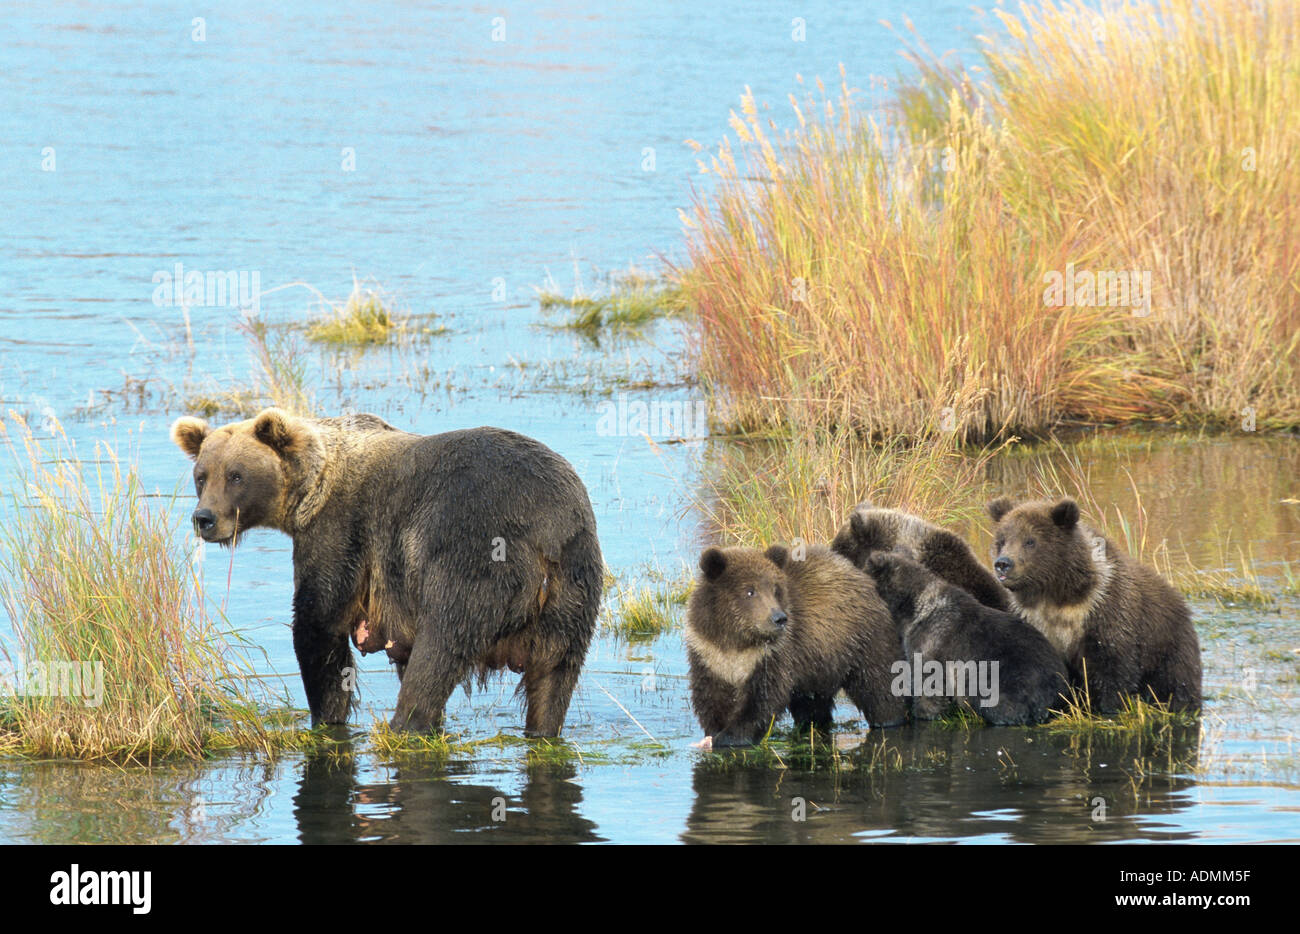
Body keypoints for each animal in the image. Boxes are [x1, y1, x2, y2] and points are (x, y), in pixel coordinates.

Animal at [170, 407, 604, 735]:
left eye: (236, 475)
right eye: (201, 476)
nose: (204, 519)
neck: (308, 496)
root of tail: (544, 530)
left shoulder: (341, 531)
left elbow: (319, 623)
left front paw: (326, 717)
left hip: (471, 553)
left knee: (439, 649)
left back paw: (404, 725)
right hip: (574, 583)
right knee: (555, 675)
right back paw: (542, 728)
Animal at [684, 543, 906, 747]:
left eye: (775, 589)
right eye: (749, 591)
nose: (779, 618)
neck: (737, 641)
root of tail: (861, 576)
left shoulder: (774, 654)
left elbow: (762, 699)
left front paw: (731, 736)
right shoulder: (708, 653)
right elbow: (710, 695)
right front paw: (714, 730)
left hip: (861, 640)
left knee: (880, 687)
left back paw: (890, 718)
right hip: (818, 666)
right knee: (812, 704)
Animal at [987, 496, 1202, 713]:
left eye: (1030, 541)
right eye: (1001, 540)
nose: (1003, 563)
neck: (1056, 594)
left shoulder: (1103, 608)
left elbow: (1111, 665)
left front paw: (1105, 705)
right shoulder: (1034, 619)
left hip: (1167, 646)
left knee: (1175, 681)